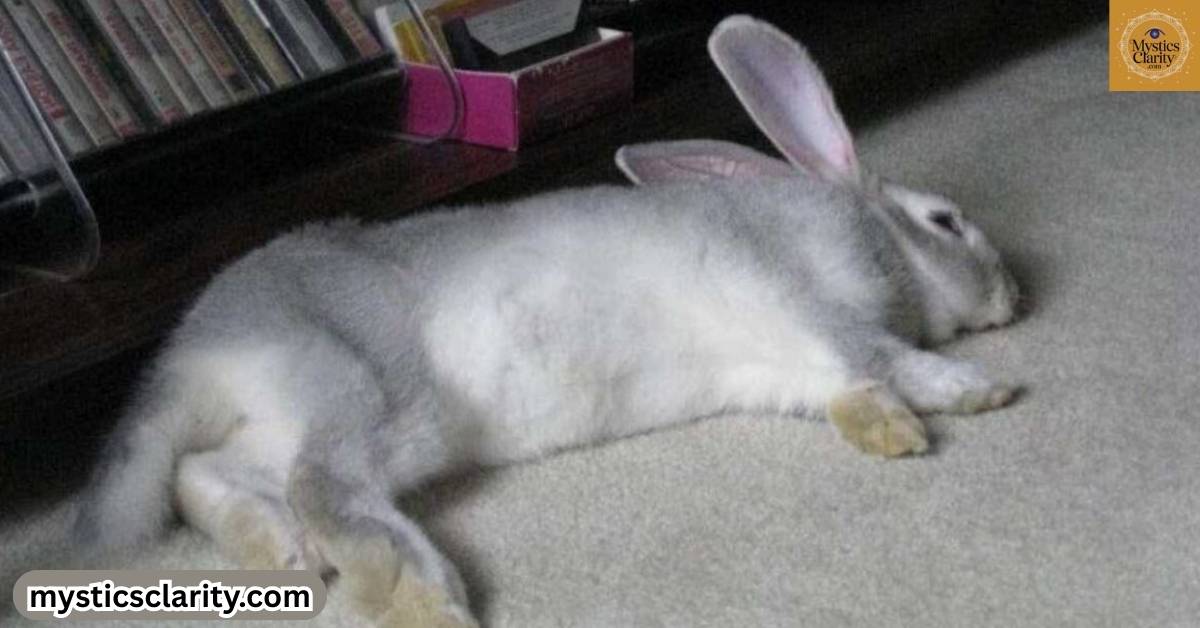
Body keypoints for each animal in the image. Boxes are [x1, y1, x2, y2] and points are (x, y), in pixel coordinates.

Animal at [21, 14, 1018, 628]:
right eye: (947, 222)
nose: (1013, 297)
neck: (877, 242)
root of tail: (194, 352)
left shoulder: (785, 365)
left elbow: (846, 389)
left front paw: (888, 433)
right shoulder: (803, 302)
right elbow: (880, 353)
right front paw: (981, 392)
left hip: (284, 418)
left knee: (206, 473)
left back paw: (279, 551)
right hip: (366, 391)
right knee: (324, 482)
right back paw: (414, 595)